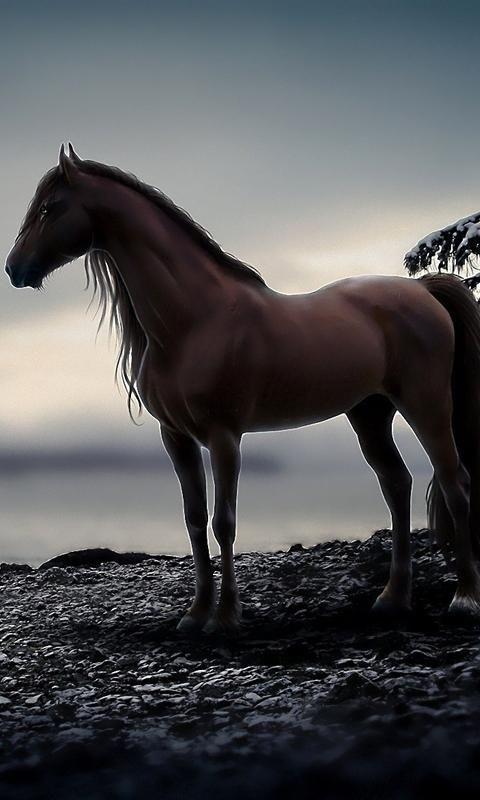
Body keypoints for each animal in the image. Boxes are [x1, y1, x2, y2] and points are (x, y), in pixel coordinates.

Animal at [5, 144, 480, 633]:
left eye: (49, 208)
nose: (14, 268)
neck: (196, 320)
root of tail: (423, 291)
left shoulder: (224, 436)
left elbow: (224, 522)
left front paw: (225, 618)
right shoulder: (176, 438)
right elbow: (195, 521)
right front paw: (195, 614)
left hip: (426, 405)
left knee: (454, 483)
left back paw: (464, 599)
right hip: (369, 414)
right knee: (397, 485)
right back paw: (392, 599)